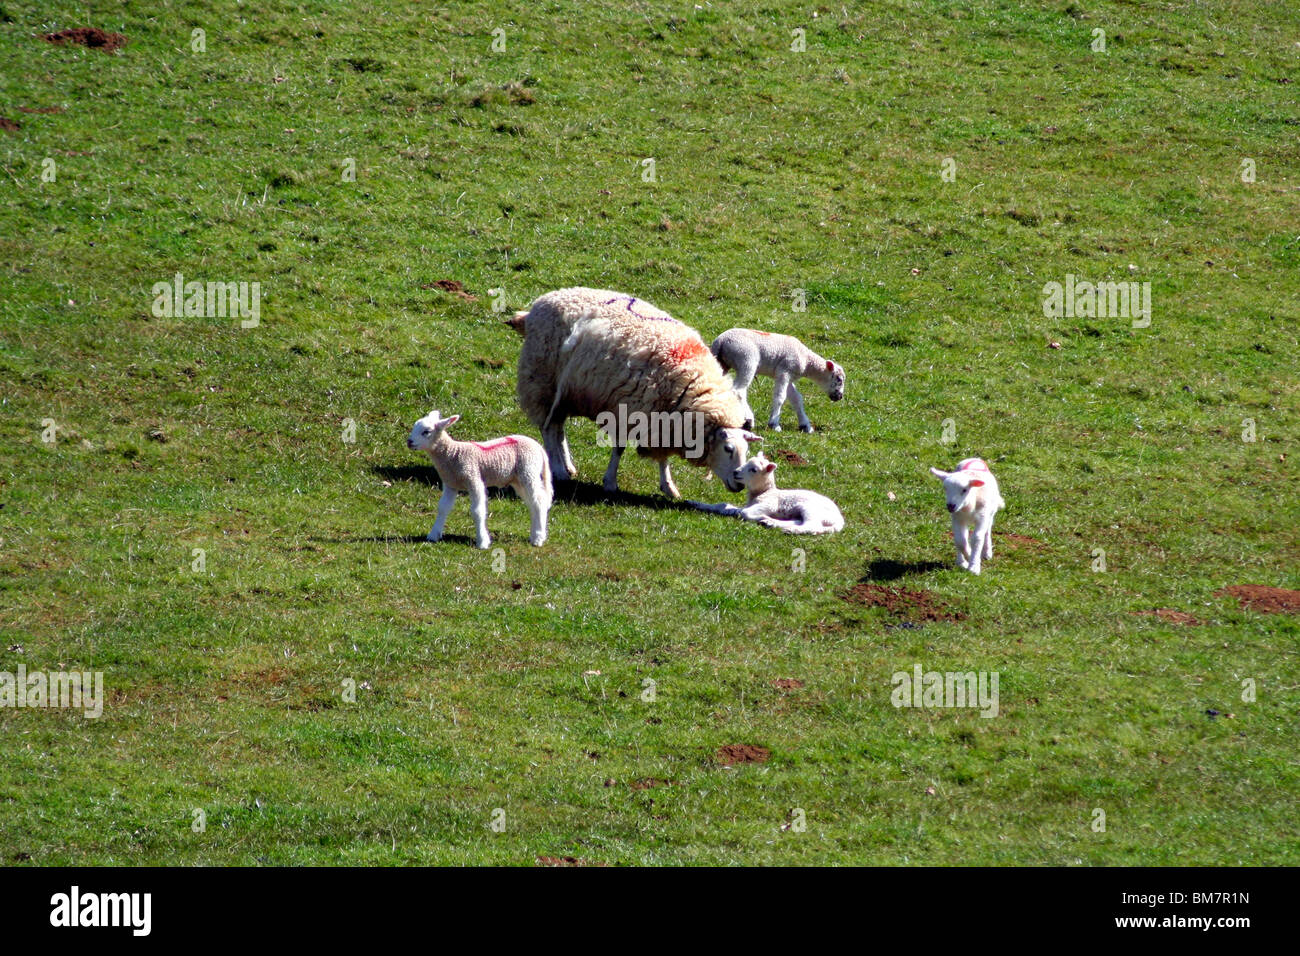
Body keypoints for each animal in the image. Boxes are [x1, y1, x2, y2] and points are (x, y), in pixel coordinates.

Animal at [406, 410, 552, 549]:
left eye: (426, 432)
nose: (409, 442)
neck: (452, 454)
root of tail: (538, 447)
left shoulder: (473, 478)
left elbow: (477, 511)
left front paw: (482, 541)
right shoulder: (451, 483)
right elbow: (443, 507)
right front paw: (433, 535)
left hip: (529, 471)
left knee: (539, 502)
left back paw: (538, 538)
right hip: (518, 479)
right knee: (533, 503)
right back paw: (536, 534)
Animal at [511, 287, 761, 498]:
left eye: (746, 450)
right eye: (728, 449)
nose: (739, 485)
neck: (692, 384)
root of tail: (539, 305)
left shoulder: (664, 422)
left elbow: (663, 458)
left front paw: (668, 487)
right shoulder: (627, 410)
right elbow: (619, 448)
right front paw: (610, 482)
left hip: (564, 393)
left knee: (558, 427)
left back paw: (568, 466)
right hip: (542, 381)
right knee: (548, 428)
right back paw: (558, 469)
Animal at [687, 453, 844, 534]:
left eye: (754, 470)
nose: (735, 472)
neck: (765, 492)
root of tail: (840, 520)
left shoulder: (770, 504)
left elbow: (744, 513)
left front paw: (761, 516)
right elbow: (724, 506)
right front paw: (693, 503)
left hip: (811, 508)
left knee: (811, 526)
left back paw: (786, 528)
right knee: (801, 521)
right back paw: (772, 523)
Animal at [709, 328, 845, 432]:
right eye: (839, 379)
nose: (839, 396)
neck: (807, 360)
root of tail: (720, 341)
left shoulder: (789, 376)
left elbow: (797, 399)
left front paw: (805, 425)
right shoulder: (785, 371)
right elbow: (780, 397)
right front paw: (774, 424)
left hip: (723, 363)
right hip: (747, 359)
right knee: (739, 390)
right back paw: (749, 420)